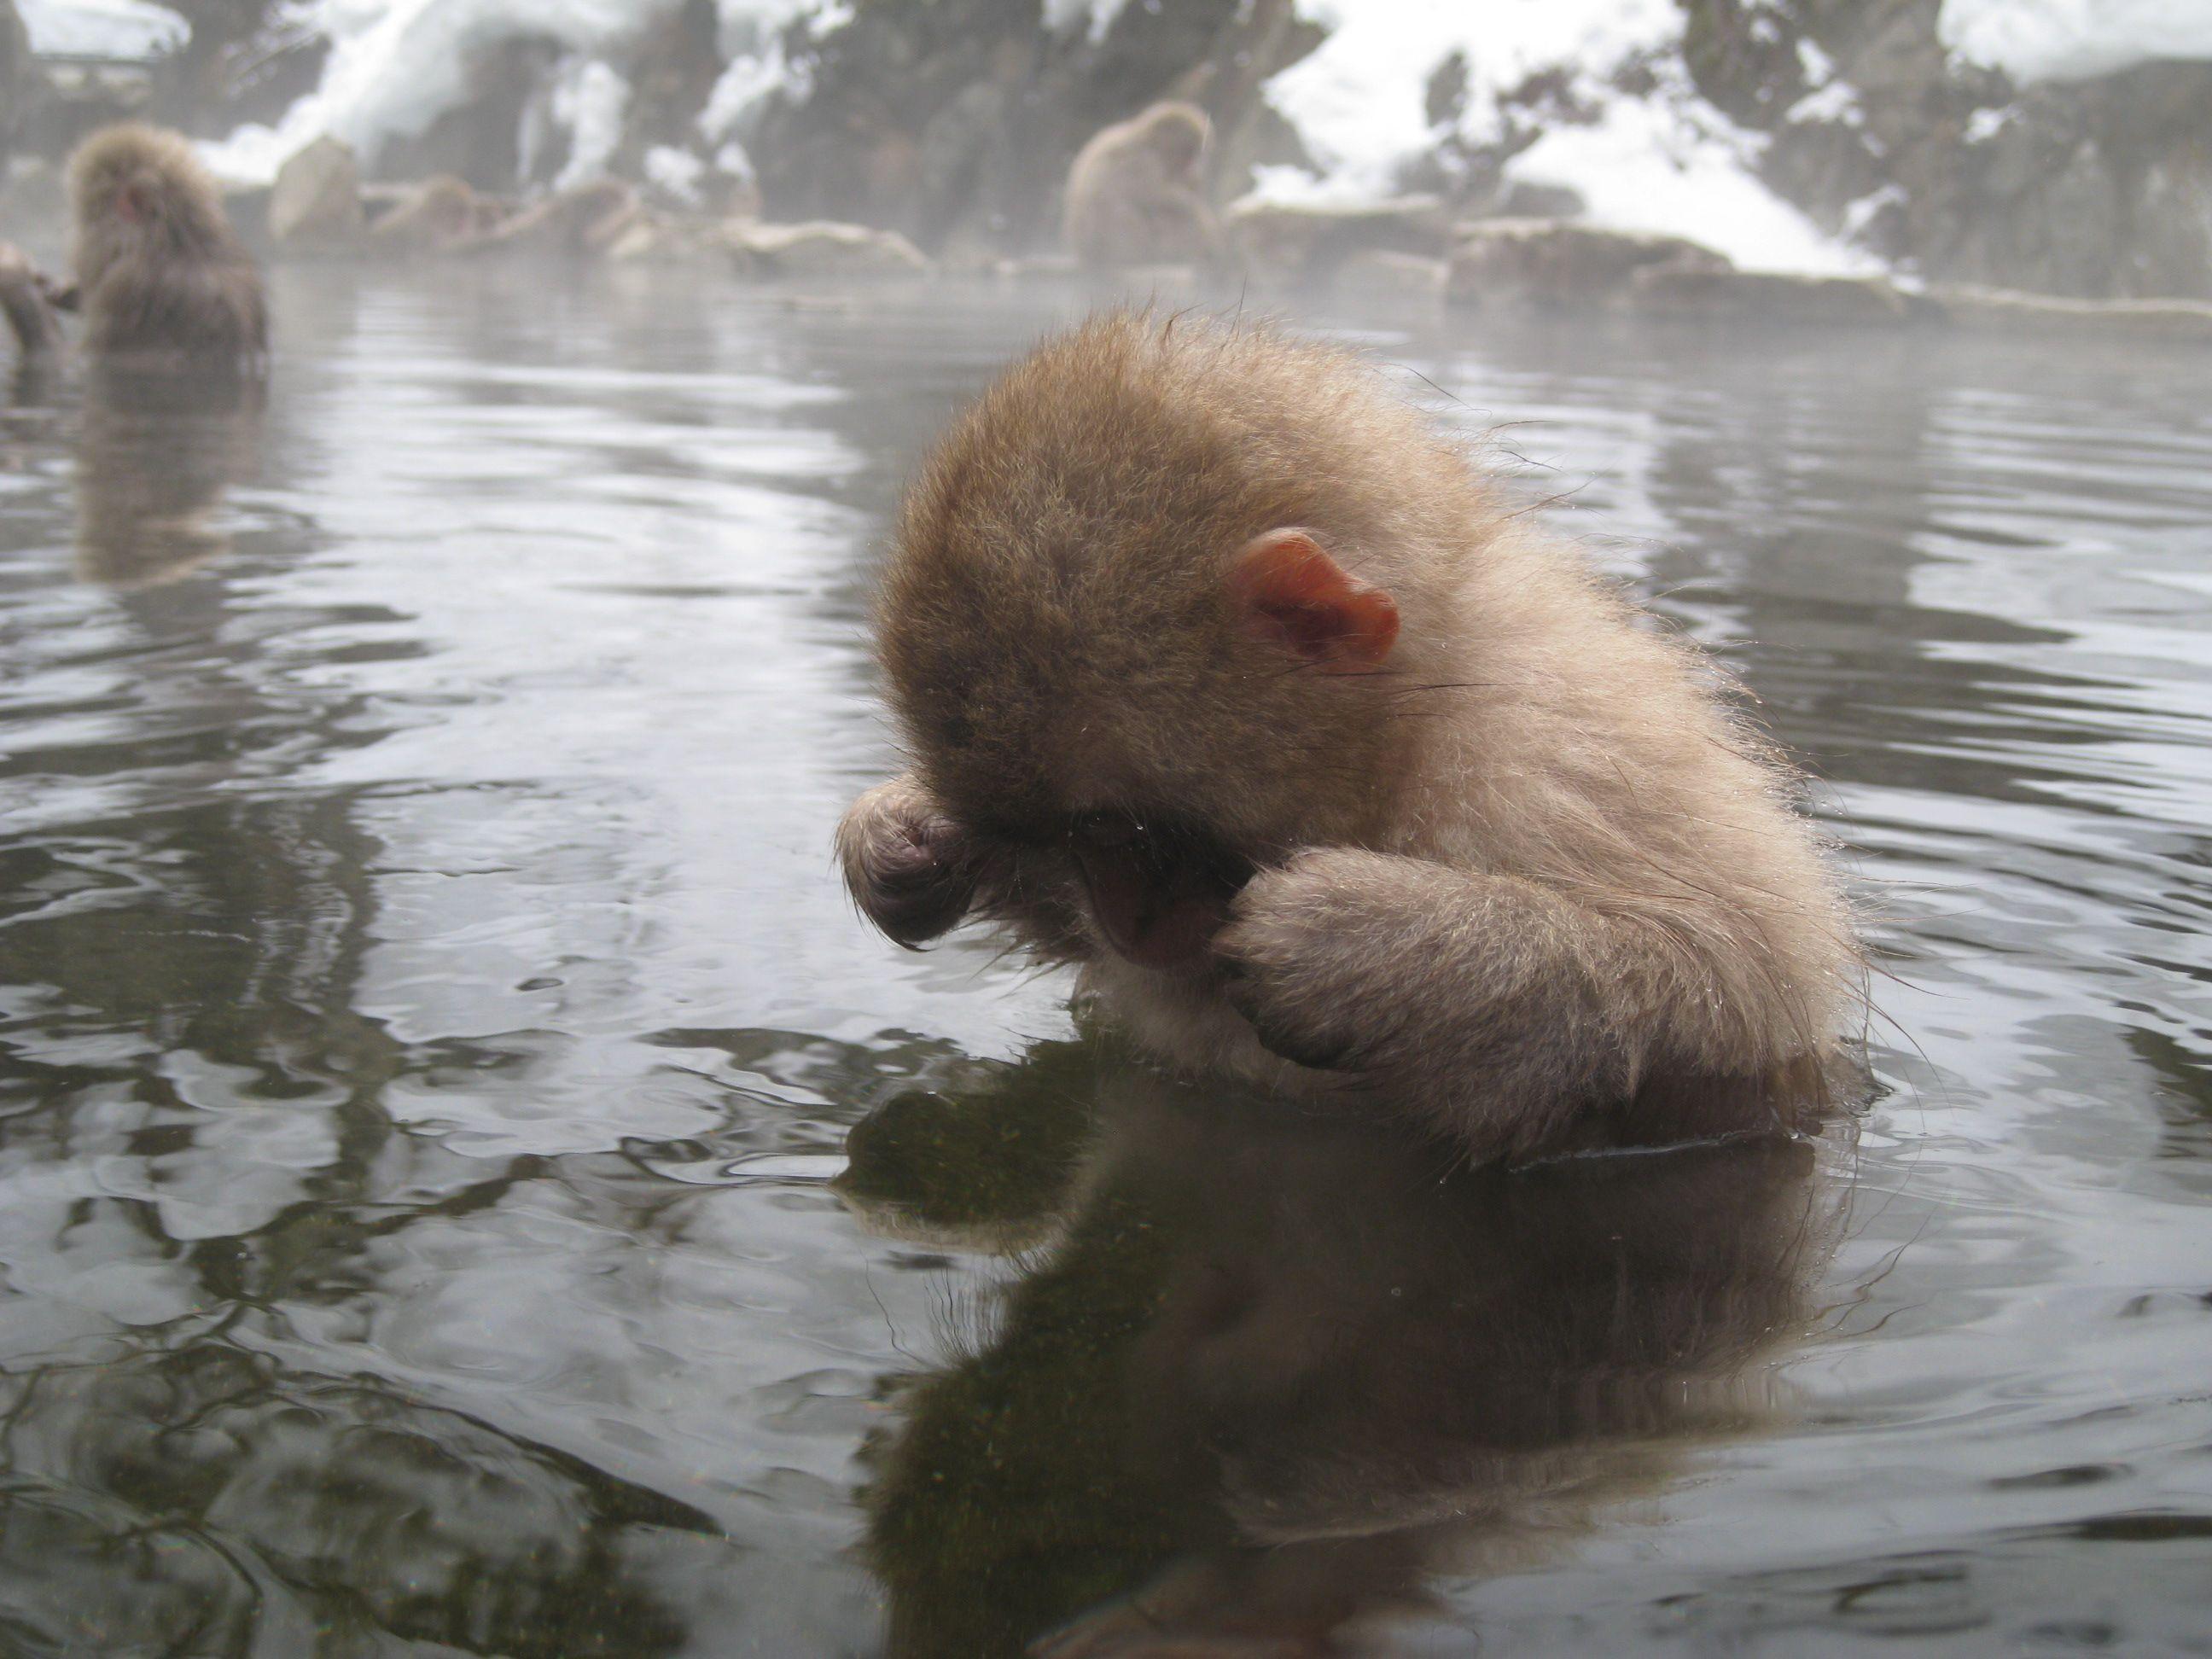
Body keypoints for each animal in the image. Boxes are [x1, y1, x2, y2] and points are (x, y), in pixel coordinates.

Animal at [837, 311, 1859, 1167]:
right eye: (1063, 844)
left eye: (1129, 832)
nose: (1130, 923)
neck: (1401, 744)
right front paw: (900, 834)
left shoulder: (1559, 762)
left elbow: (1741, 983)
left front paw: (1371, 946)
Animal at [1062, 102, 1229, 272]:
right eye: (1187, 154)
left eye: (1196, 154)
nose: (1194, 167)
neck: (1148, 143)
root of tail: (1086, 255)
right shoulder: (1144, 161)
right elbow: (1152, 194)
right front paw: (1187, 200)